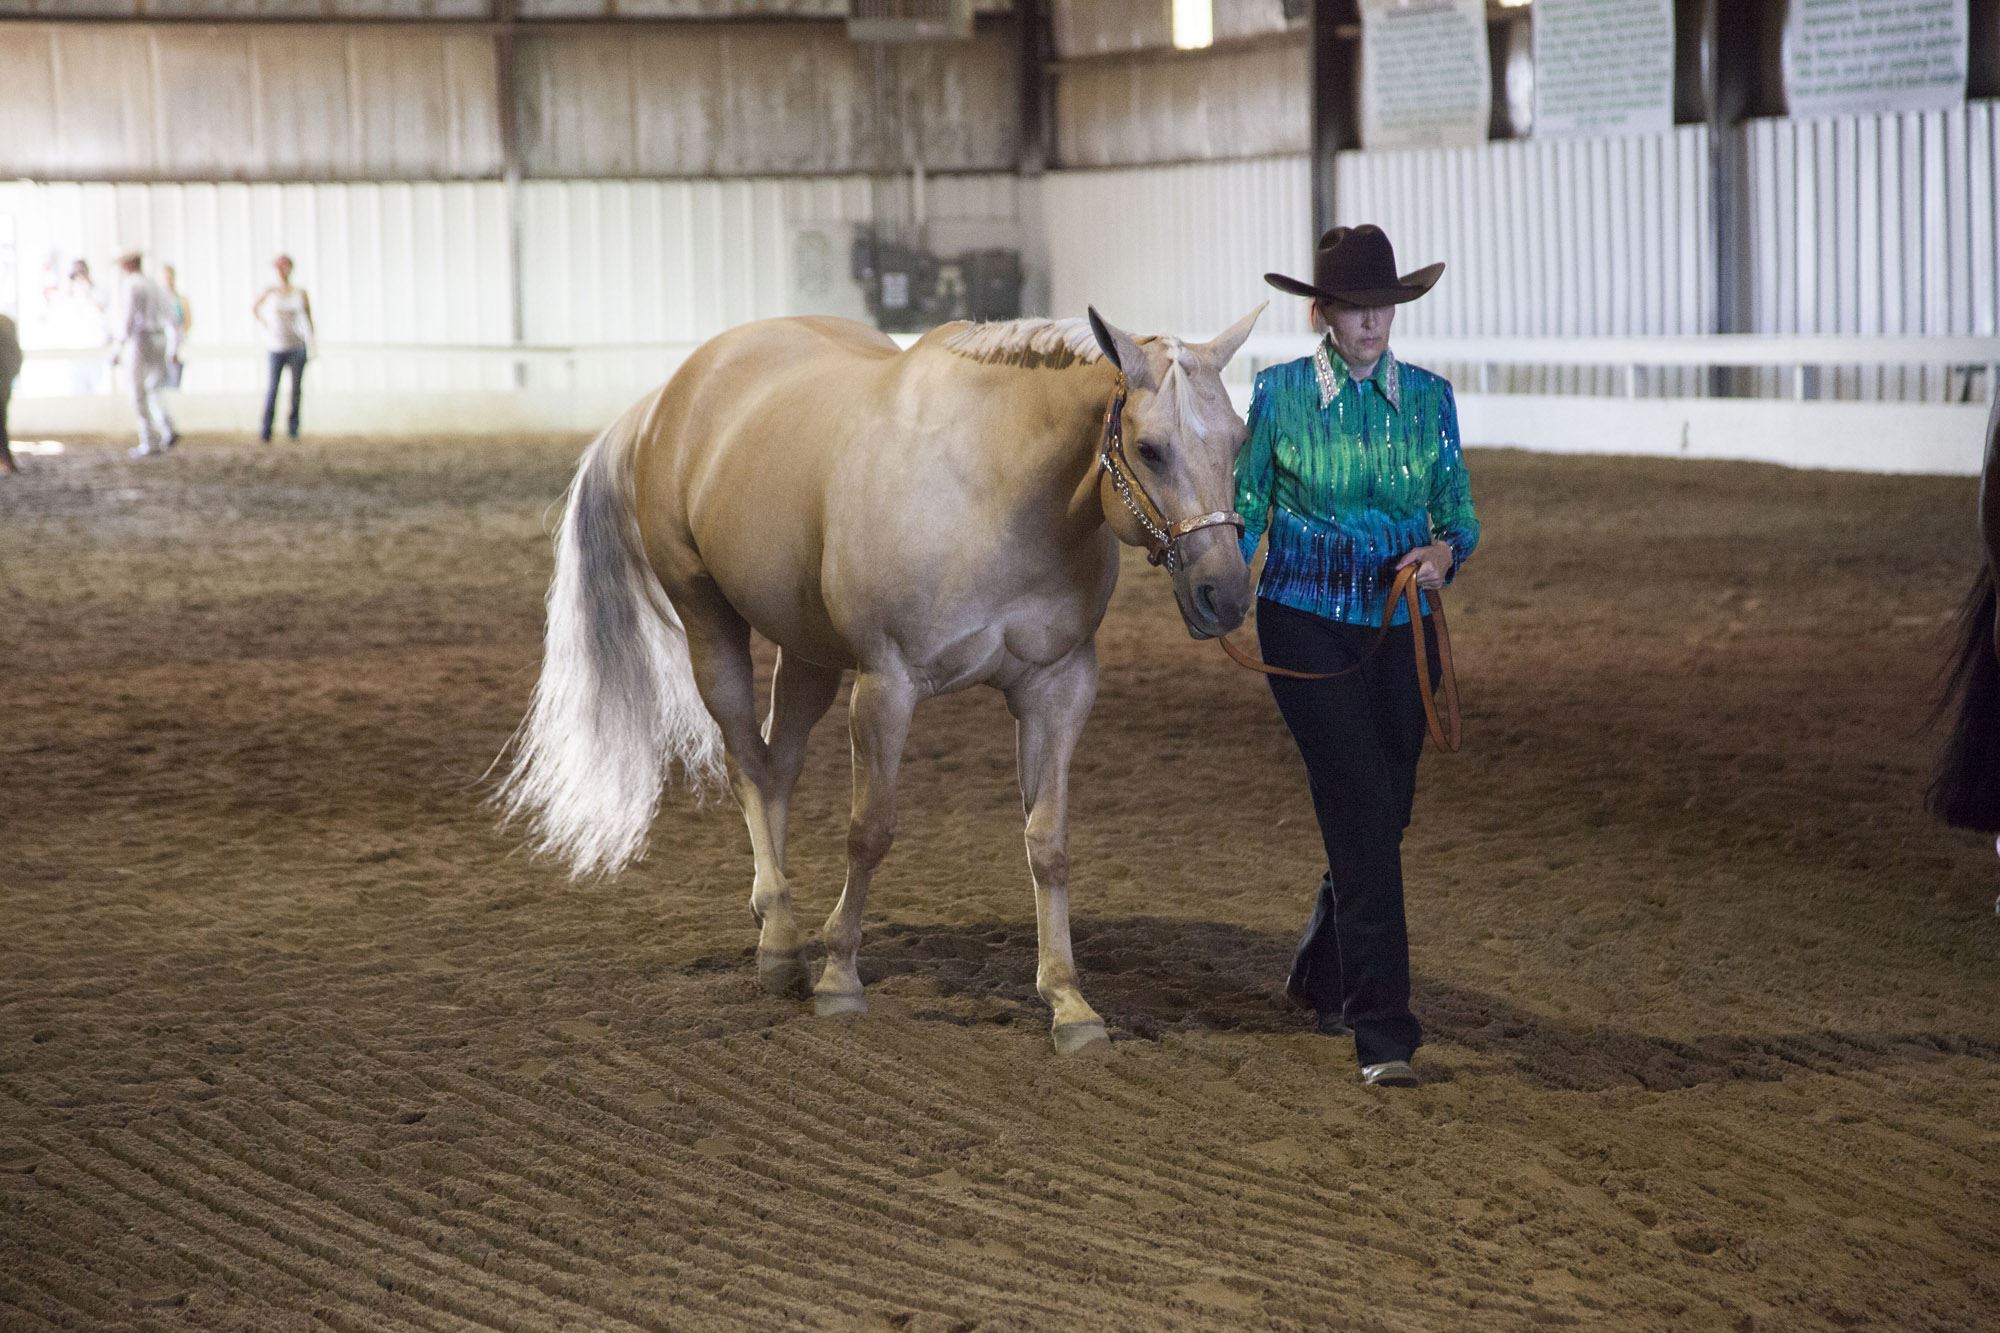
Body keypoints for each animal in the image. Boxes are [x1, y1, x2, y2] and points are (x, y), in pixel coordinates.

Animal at [497, 306, 1265, 1053]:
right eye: (1150, 448)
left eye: (1238, 439)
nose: (1224, 596)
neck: (994, 489)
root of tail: (668, 398)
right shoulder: (886, 685)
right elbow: (871, 829)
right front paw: (840, 978)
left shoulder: (1059, 689)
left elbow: (1048, 843)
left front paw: (1069, 1003)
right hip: (709, 621)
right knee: (746, 760)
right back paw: (781, 943)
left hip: (809, 650)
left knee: (778, 764)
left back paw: (772, 918)